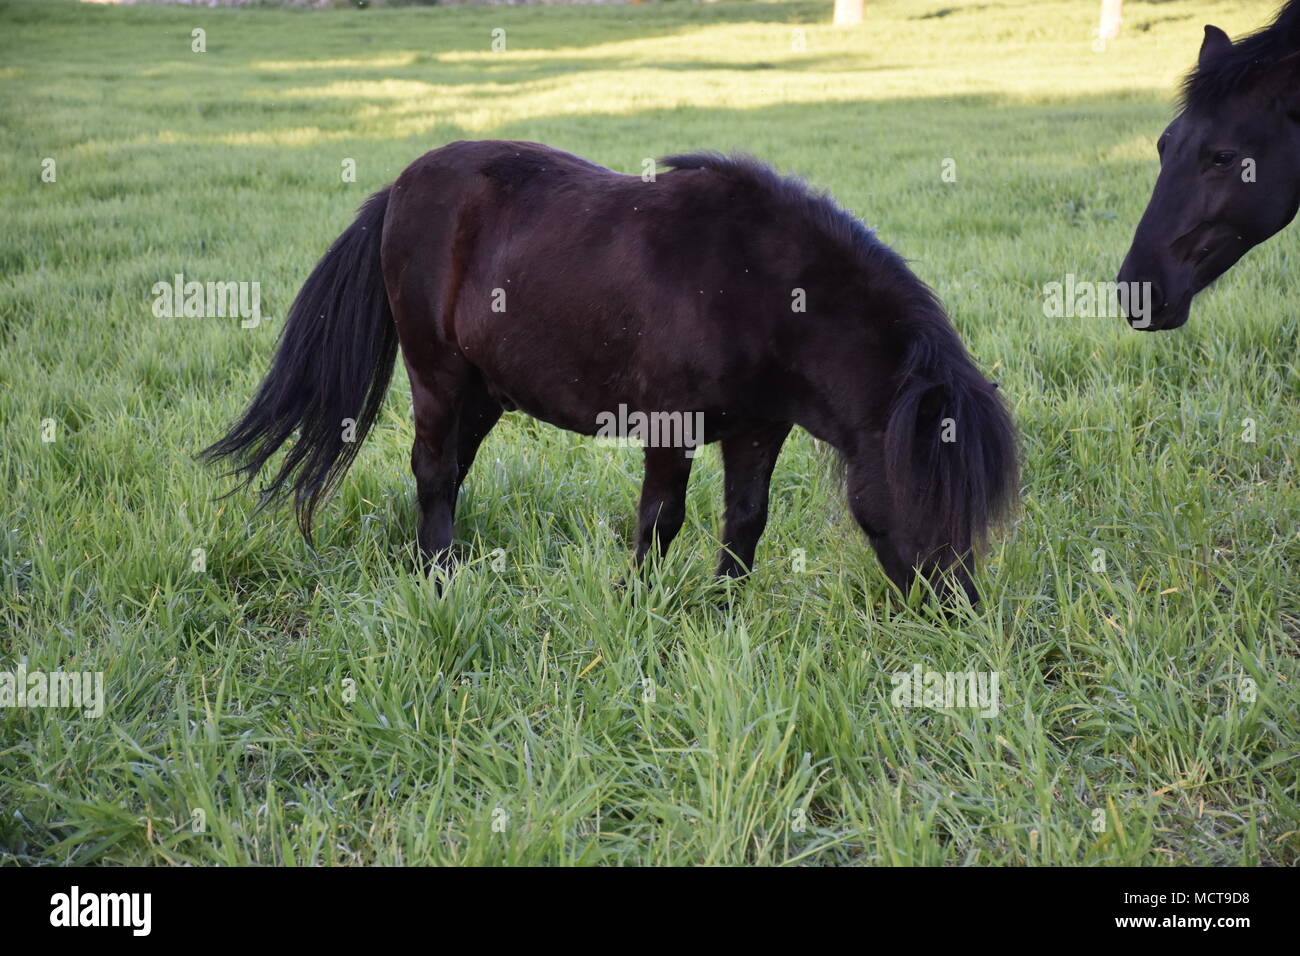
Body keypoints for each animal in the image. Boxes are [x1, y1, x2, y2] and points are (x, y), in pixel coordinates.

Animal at [203, 141, 1017, 604]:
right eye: (928, 494)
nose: (962, 612)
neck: (757, 288)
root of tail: (399, 188)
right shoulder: (670, 424)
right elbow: (661, 519)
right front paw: (637, 605)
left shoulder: (760, 428)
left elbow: (745, 519)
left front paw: (725, 611)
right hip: (436, 374)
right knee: (433, 470)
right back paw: (440, 579)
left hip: (485, 392)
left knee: (448, 472)